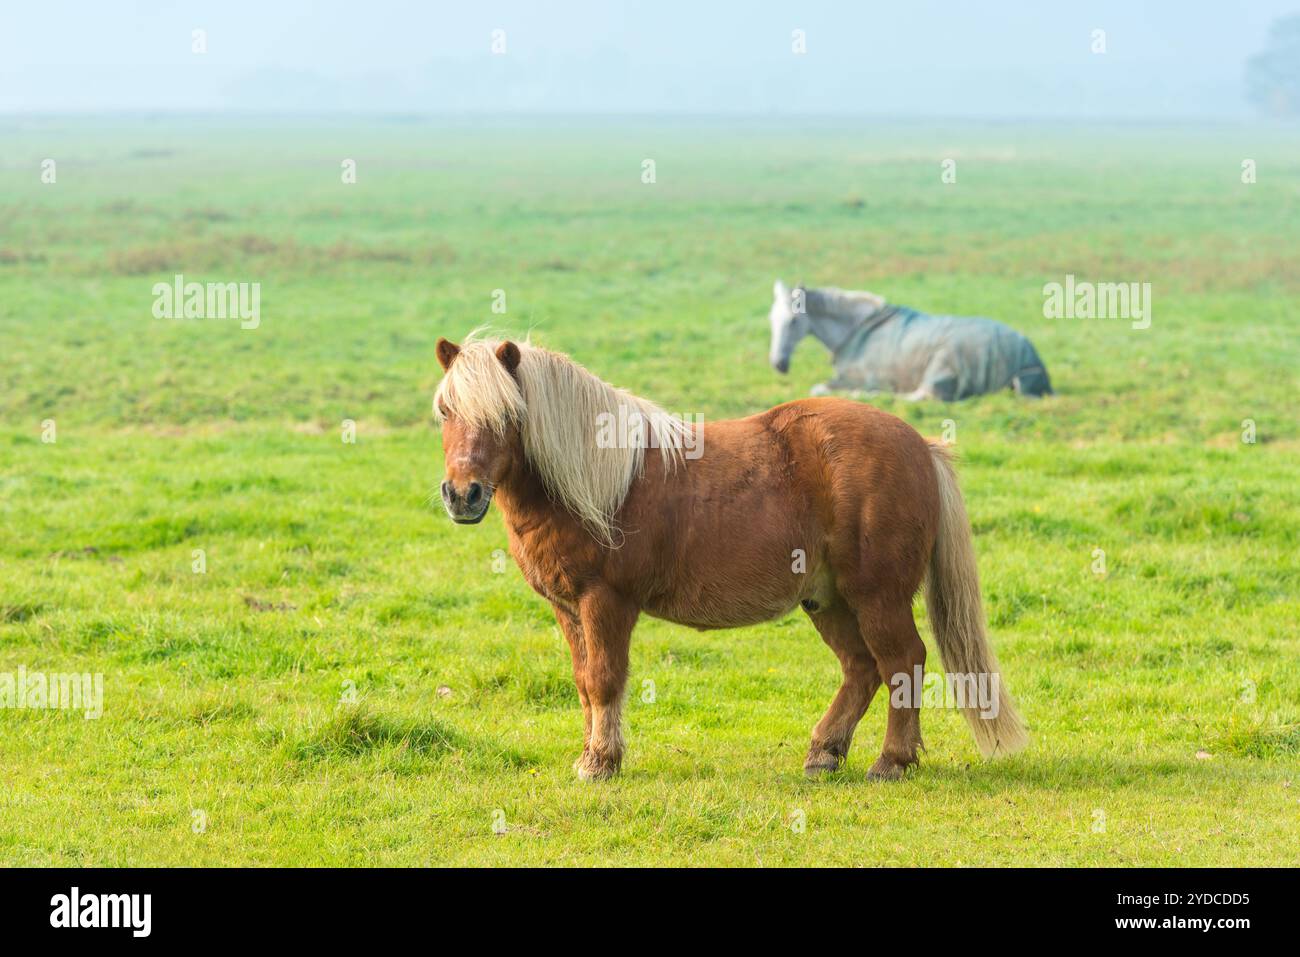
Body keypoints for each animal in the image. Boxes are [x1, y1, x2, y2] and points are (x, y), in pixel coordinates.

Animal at [433, 334, 1027, 781]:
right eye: (444, 411)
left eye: (508, 415)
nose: (463, 495)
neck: (598, 481)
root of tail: (921, 445)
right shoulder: (566, 606)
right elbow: (583, 682)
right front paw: (590, 756)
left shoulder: (606, 602)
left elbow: (604, 679)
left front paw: (602, 762)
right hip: (828, 600)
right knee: (862, 668)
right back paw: (824, 753)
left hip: (876, 596)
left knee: (903, 661)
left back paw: (891, 762)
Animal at [769, 280, 1053, 400]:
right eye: (771, 319)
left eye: (793, 321)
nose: (778, 364)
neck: (855, 328)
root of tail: (1028, 357)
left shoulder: (852, 378)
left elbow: (818, 388)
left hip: (940, 365)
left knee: (920, 396)